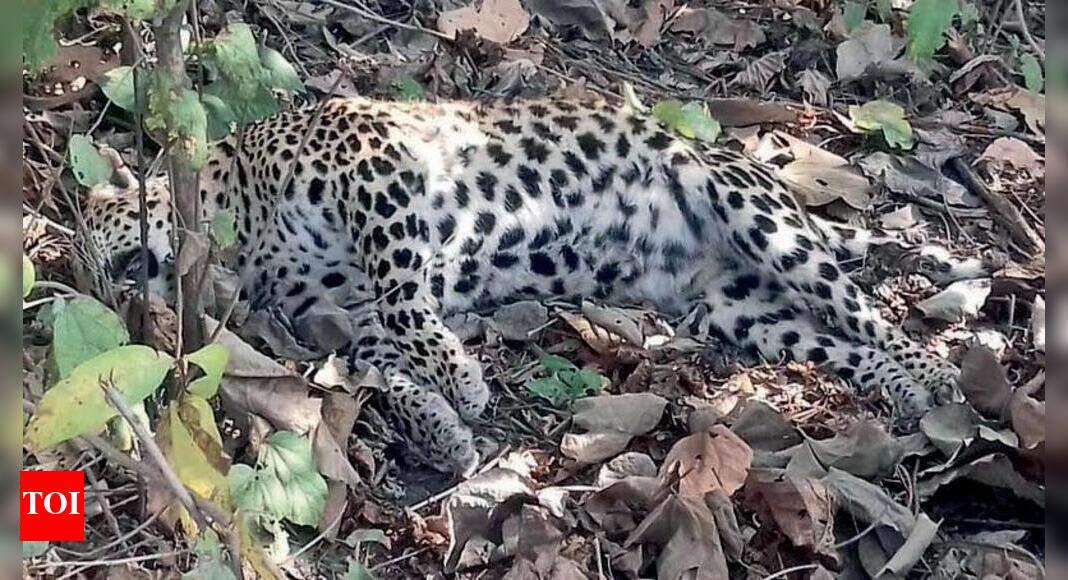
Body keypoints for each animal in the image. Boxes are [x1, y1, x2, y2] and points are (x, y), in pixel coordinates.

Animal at [82, 96, 992, 475]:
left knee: (863, 308)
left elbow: (406, 296)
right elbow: (378, 369)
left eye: (96, 232)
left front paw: (459, 380)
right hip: (740, 307)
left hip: (756, 215)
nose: (104, 288)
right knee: (838, 337)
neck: (242, 226)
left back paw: (937, 372)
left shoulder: (375, 169)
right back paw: (909, 389)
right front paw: (442, 427)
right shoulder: (343, 314)